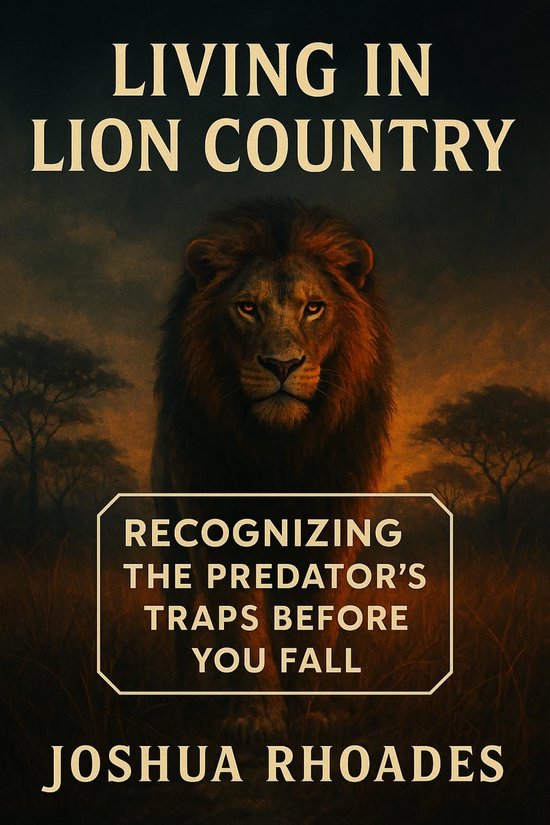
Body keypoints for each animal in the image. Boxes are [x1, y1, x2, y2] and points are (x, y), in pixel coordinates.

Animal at [153, 198, 393, 739]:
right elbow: (241, 625)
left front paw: (307, 715)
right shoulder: (214, 517)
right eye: (248, 307)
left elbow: (316, 623)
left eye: (313, 307)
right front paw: (256, 717)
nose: (282, 365)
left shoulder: (333, 523)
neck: (281, 448)